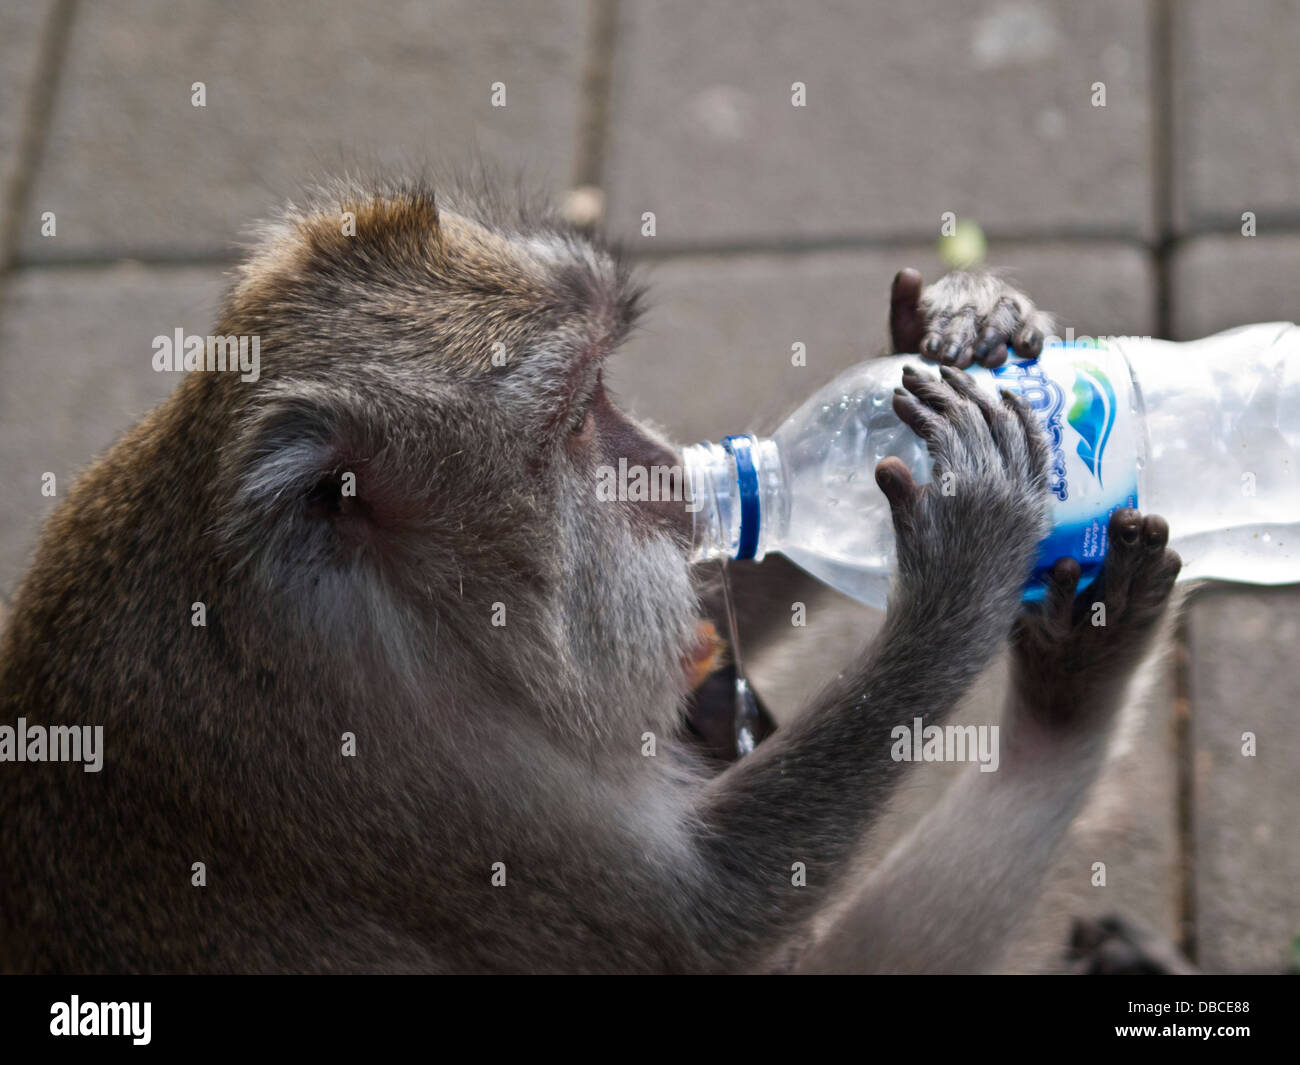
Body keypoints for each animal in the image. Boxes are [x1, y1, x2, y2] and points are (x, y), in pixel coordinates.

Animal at [0, 178, 1180, 973]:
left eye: (603, 389)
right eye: (572, 421)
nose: (662, 469)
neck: (417, 609)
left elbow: (714, 596)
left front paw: (954, 323)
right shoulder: (381, 759)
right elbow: (707, 916)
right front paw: (970, 540)